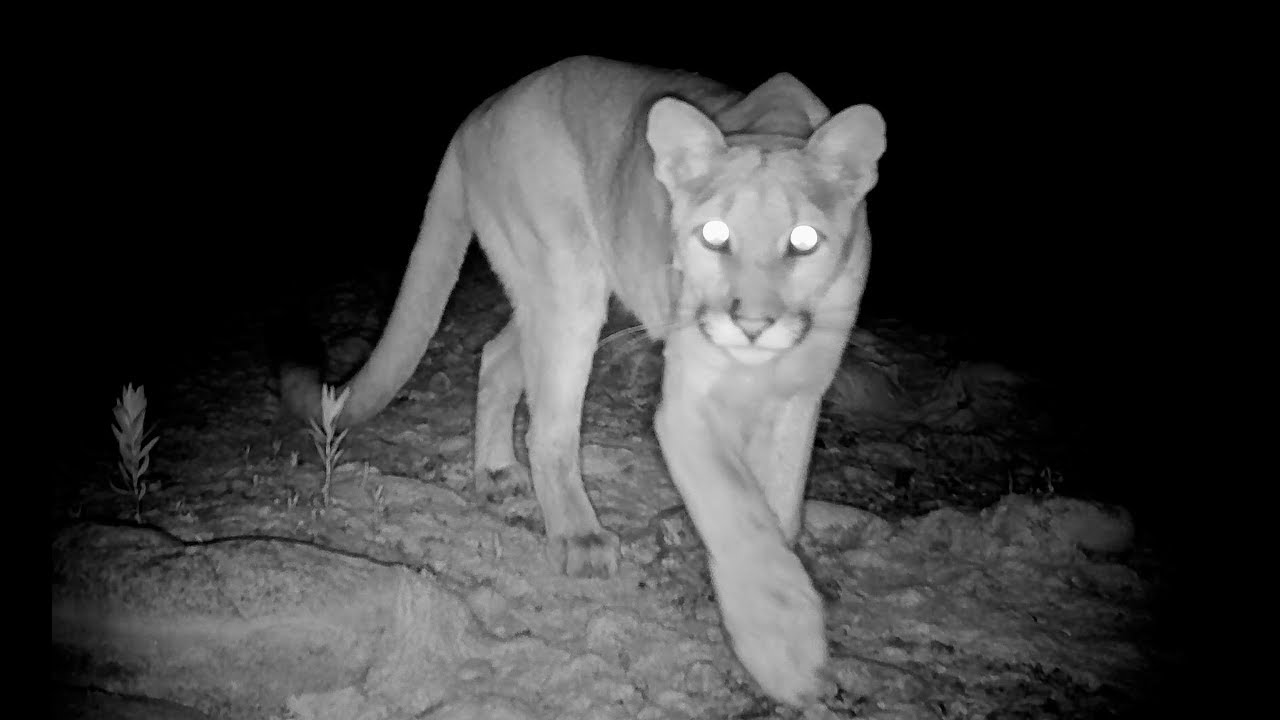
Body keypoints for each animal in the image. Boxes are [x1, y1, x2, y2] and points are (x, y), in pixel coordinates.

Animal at [280, 55, 886, 705]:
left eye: (804, 241)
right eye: (714, 235)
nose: (751, 323)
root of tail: (484, 109)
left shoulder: (801, 393)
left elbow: (781, 508)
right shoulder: (688, 405)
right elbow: (738, 512)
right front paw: (784, 647)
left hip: (551, 291)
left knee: (497, 355)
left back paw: (496, 473)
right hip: (569, 281)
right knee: (549, 427)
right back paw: (577, 535)